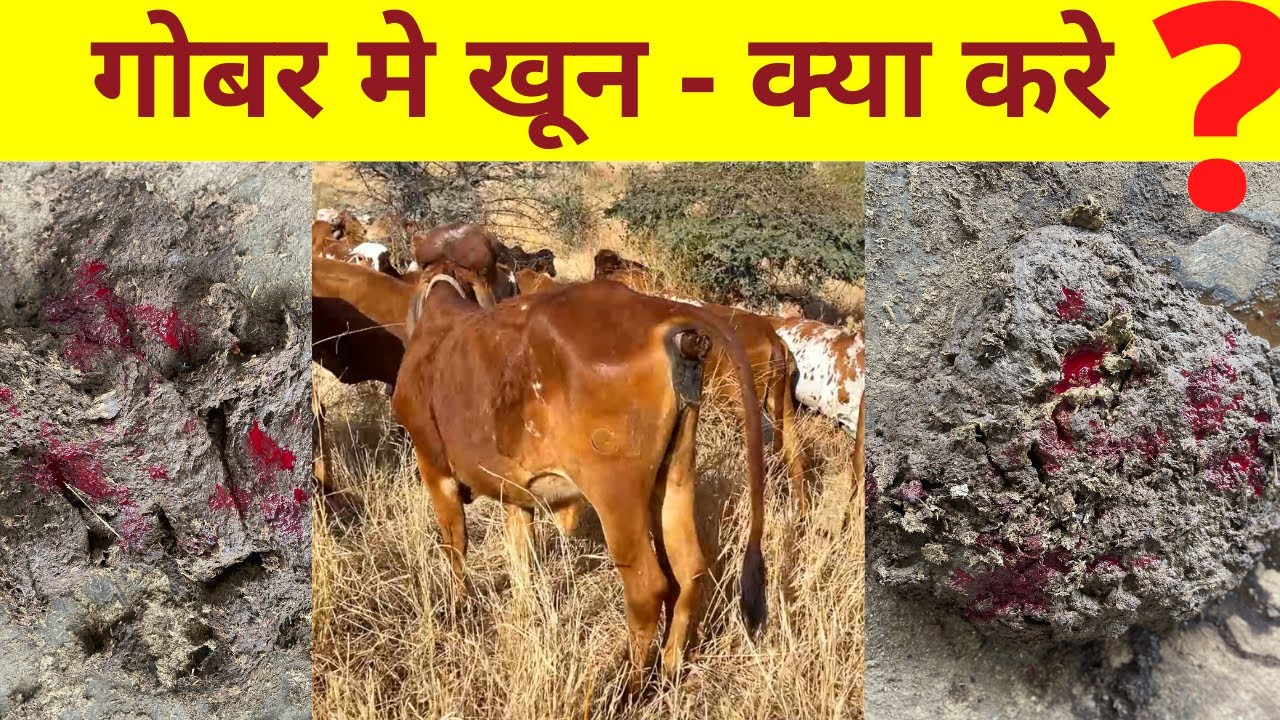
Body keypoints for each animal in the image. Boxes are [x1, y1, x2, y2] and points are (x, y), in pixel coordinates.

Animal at [392, 268, 767, 688]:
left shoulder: (432, 466)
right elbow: (521, 556)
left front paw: (459, 608)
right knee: (690, 571)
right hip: (677, 473)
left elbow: (455, 543)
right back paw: (670, 669)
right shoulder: (517, 492)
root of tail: (661, 314)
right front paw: (524, 612)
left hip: (615, 493)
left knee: (647, 588)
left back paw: (629, 684)